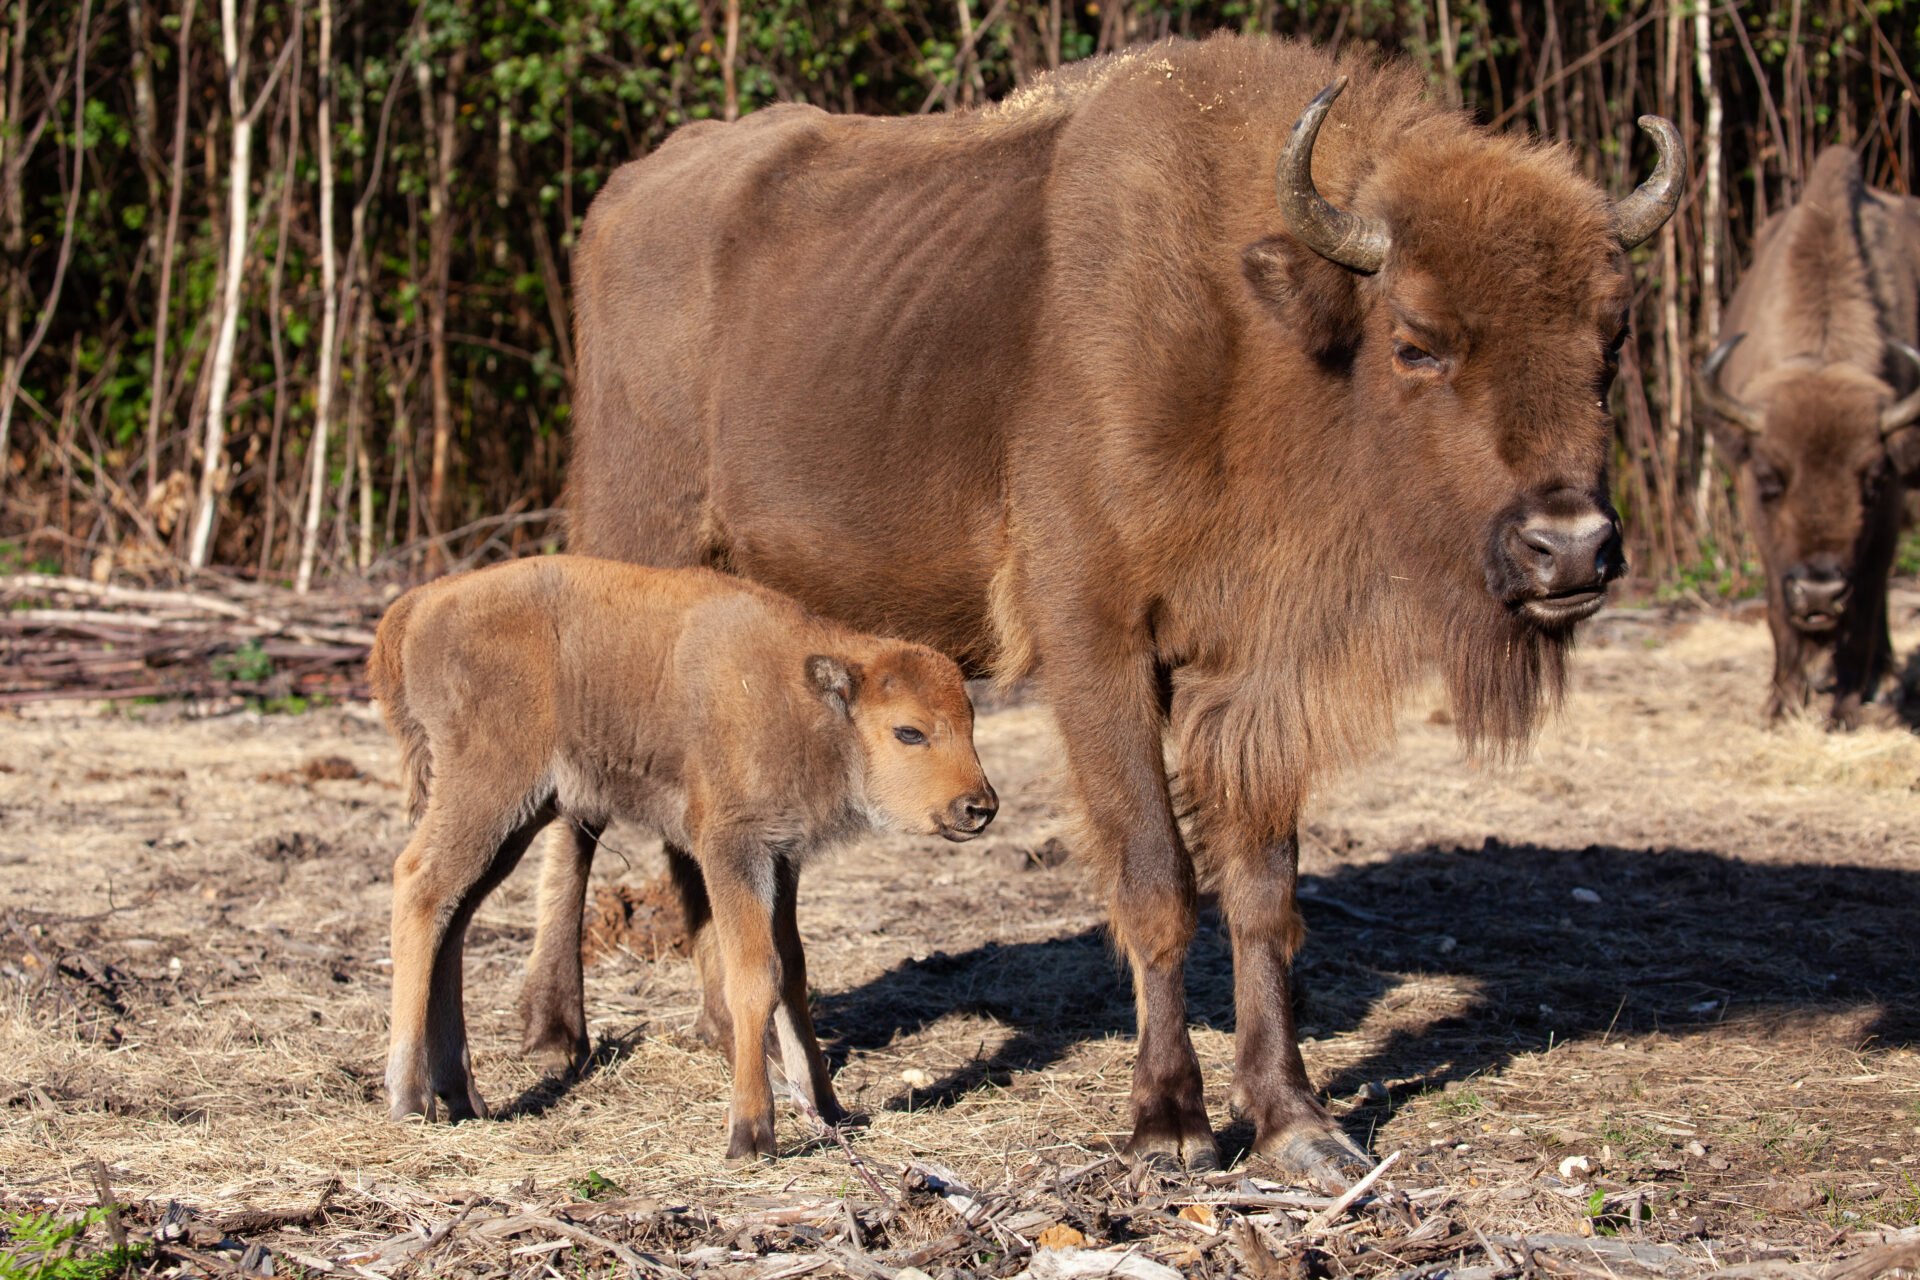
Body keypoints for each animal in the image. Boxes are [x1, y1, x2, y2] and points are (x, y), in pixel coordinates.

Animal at [368, 556, 996, 1160]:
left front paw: (831, 1108)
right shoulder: (731, 849)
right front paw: (751, 1134)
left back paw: (461, 1098)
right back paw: (410, 1100)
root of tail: (419, 605)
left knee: (453, 916)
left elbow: (793, 972)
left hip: (516, 817)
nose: (978, 807)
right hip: (489, 791)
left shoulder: (781, 858)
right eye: (909, 732)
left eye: (970, 723)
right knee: (418, 887)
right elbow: (754, 975)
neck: (804, 699)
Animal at [545, 35, 1682, 1188]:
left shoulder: (1250, 678)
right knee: (579, 804)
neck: (1250, 331)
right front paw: (1170, 1121)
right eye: (1416, 341)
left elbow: (1263, 892)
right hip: (629, 556)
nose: (1571, 545)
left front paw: (1295, 1121)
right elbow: (1157, 878)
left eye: (1610, 338)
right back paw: (557, 1032)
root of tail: (625, 198)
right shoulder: (1098, 646)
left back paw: (721, 1031)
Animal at [1696, 146, 1920, 729]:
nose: (1819, 592)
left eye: (1872, 479)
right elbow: (1777, 610)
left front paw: (1844, 709)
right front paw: (1780, 705)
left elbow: (1866, 605)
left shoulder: (1889, 511)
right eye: (1770, 478)